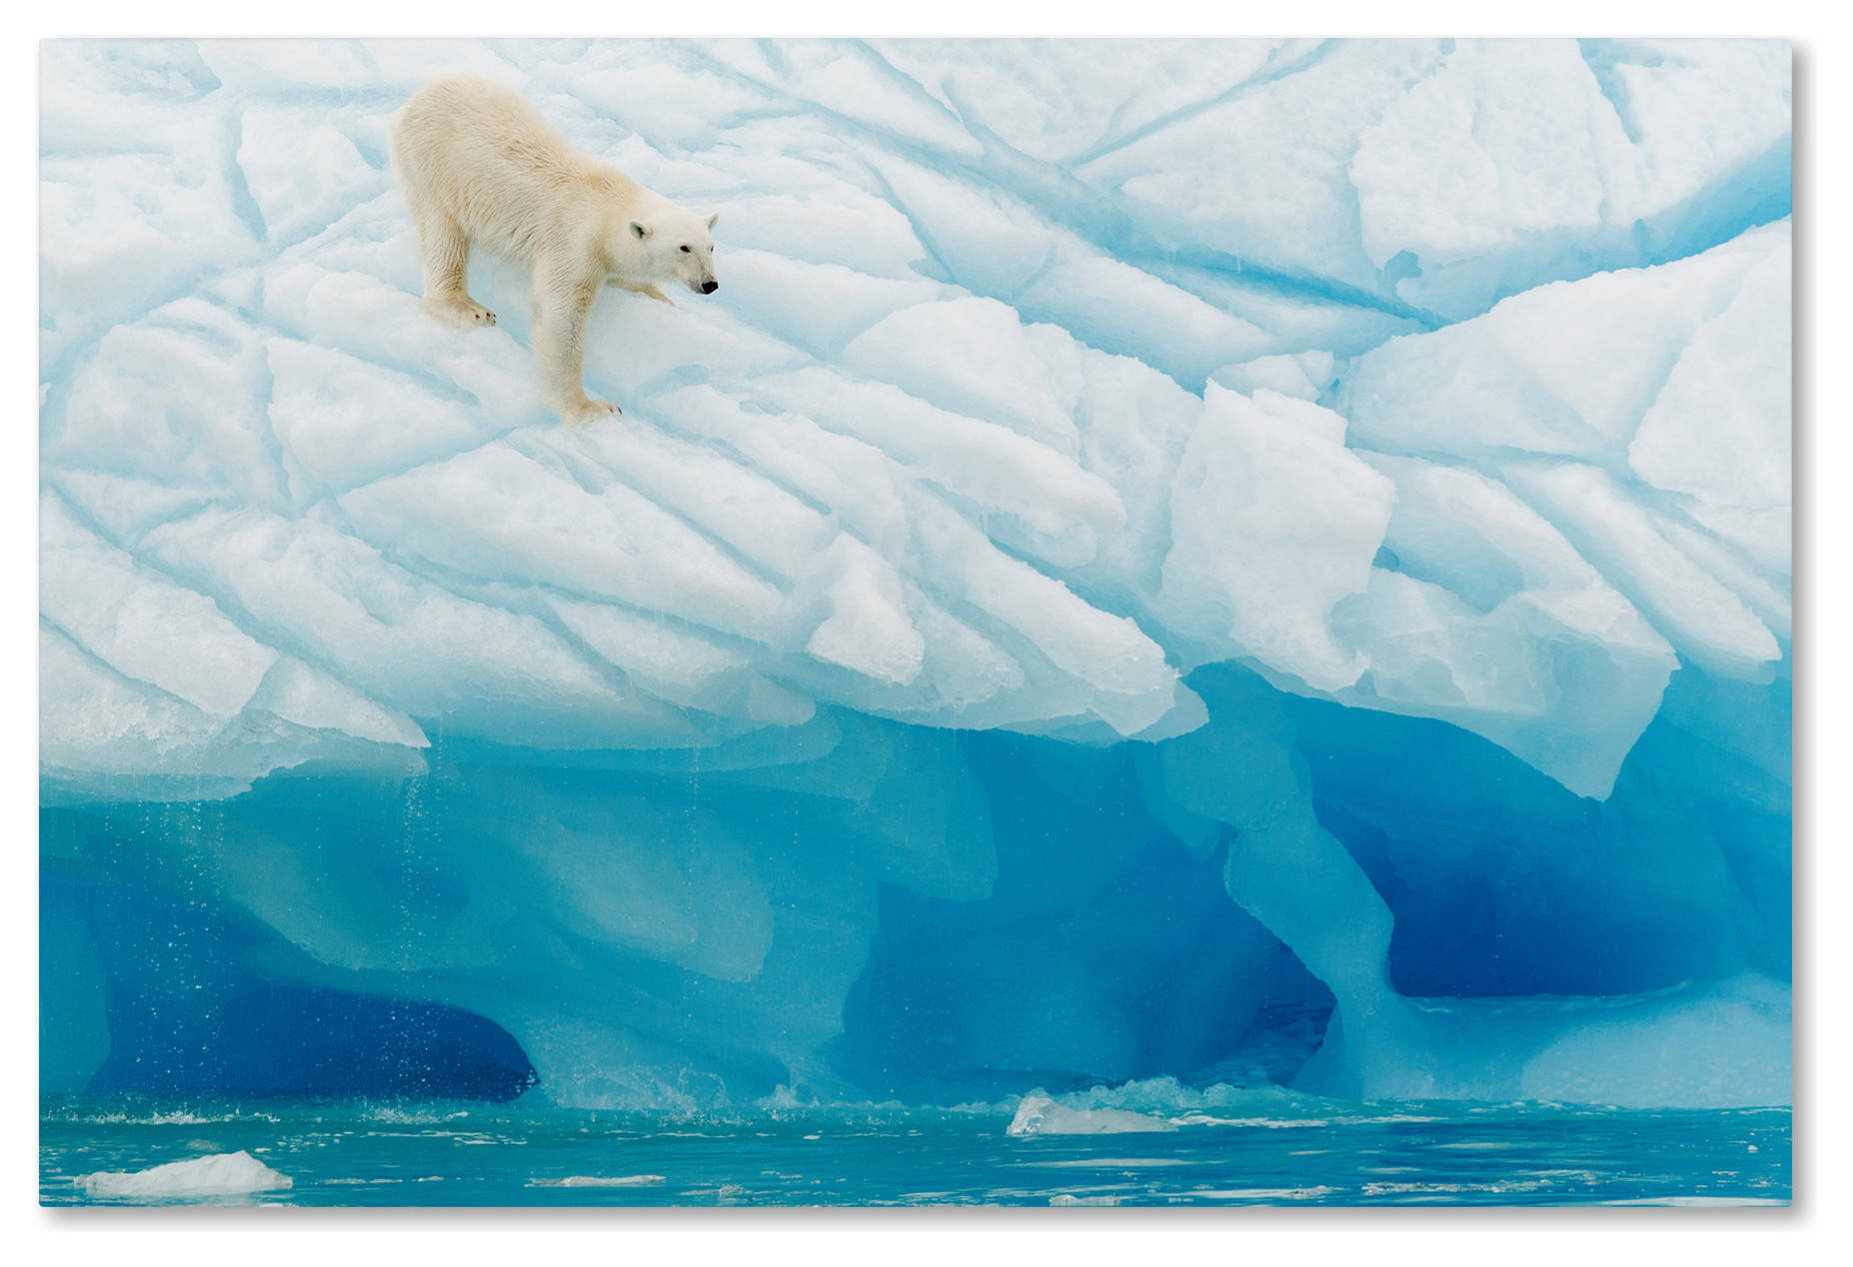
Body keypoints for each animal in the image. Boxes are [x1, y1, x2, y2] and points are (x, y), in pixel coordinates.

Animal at [390, 74, 720, 425]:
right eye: (683, 248)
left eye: (711, 246)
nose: (710, 284)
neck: (608, 203)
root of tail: (415, 100)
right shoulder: (575, 243)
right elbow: (561, 315)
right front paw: (592, 408)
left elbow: (627, 276)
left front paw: (662, 298)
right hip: (432, 166)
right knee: (444, 233)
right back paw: (468, 307)